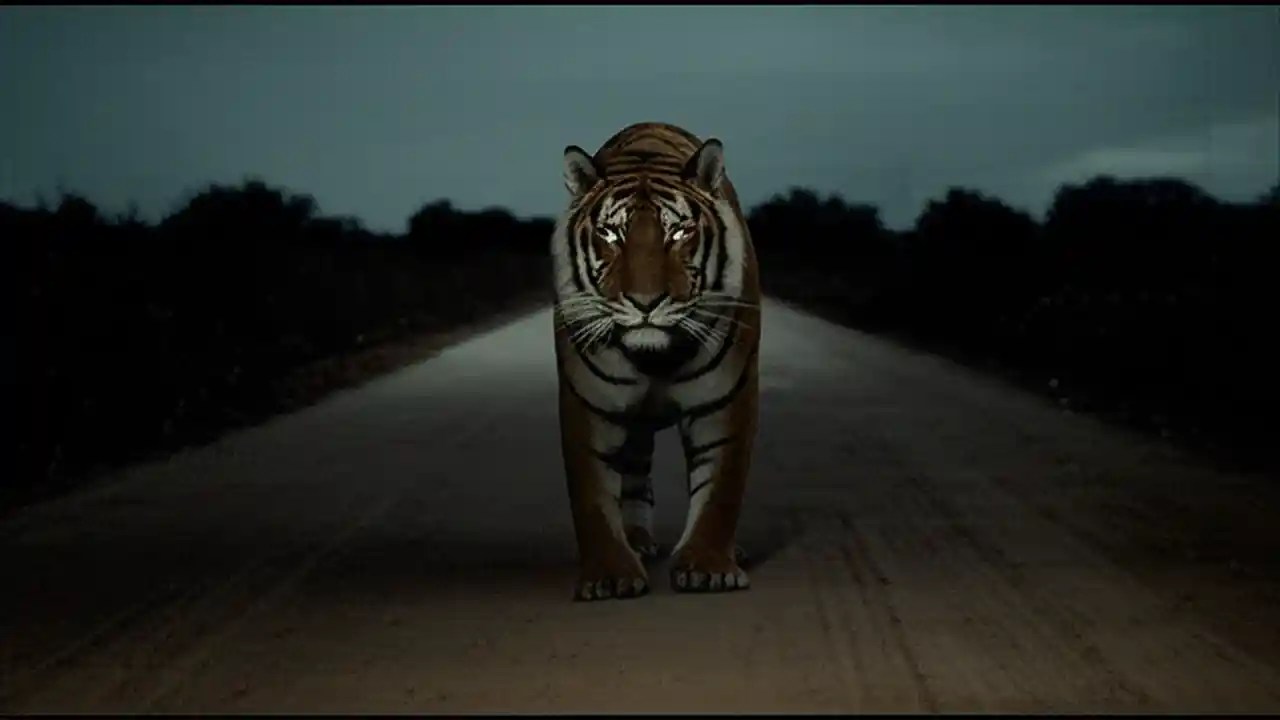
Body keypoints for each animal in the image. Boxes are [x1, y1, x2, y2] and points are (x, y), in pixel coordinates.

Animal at [550, 122, 762, 602]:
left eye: (679, 233)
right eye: (611, 234)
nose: (645, 302)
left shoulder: (727, 398)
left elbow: (721, 486)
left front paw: (708, 568)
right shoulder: (587, 402)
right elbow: (591, 493)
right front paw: (608, 576)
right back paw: (638, 542)